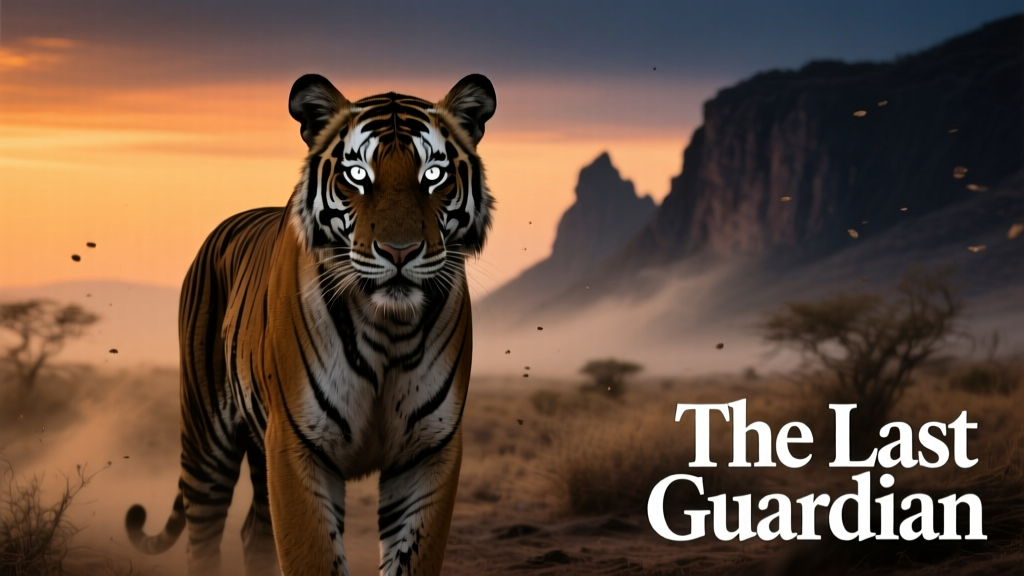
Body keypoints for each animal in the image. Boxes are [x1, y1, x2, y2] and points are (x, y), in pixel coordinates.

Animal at [124, 73, 495, 576]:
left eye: (433, 175)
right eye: (357, 175)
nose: (398, 252)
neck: (389, 329)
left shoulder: (428, 451)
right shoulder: (297, 445)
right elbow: (312, 555)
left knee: (253, 532)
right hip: (207, 439)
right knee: (204, 537)